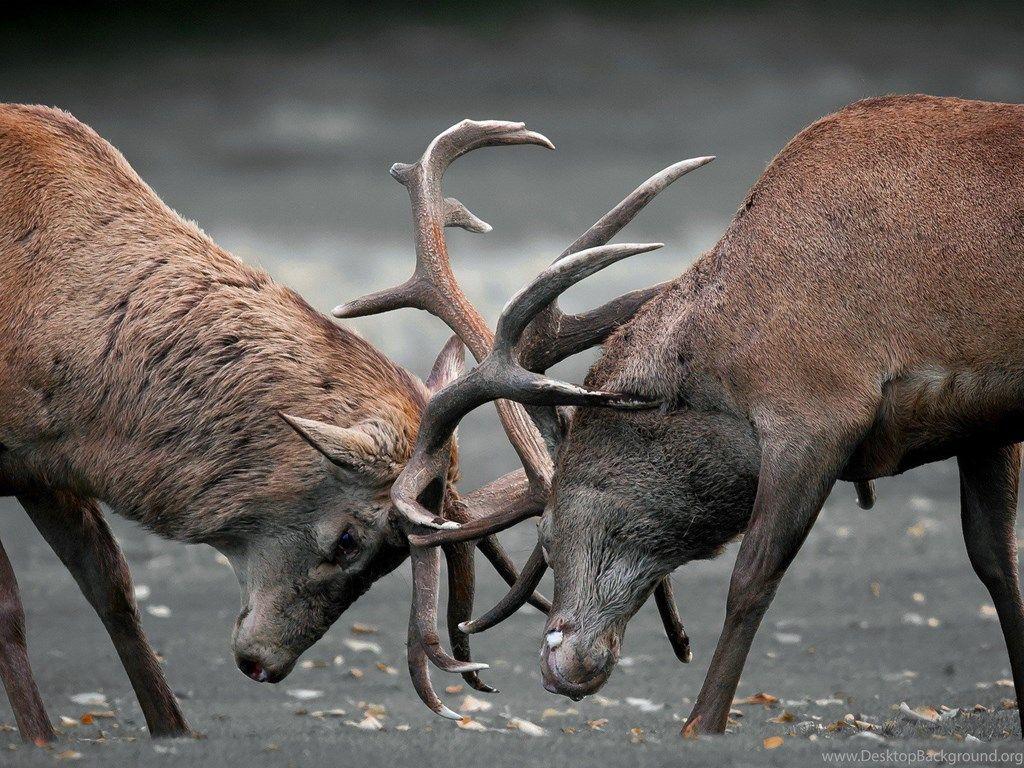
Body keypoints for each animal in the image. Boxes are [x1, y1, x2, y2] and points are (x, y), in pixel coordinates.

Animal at [0, 104, 596, 743]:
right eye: (349, 540)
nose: (265, 664)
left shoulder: (45, 464)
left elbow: (113, 589)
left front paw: (172, 731)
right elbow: (12, 608)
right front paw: (41, 739)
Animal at [349, 94, 1024, 739]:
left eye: (548, 532)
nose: (563, 667)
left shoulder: (817, 409)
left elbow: (751, 576)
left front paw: (702, 721)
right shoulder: (985, 423)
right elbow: (996, 562)